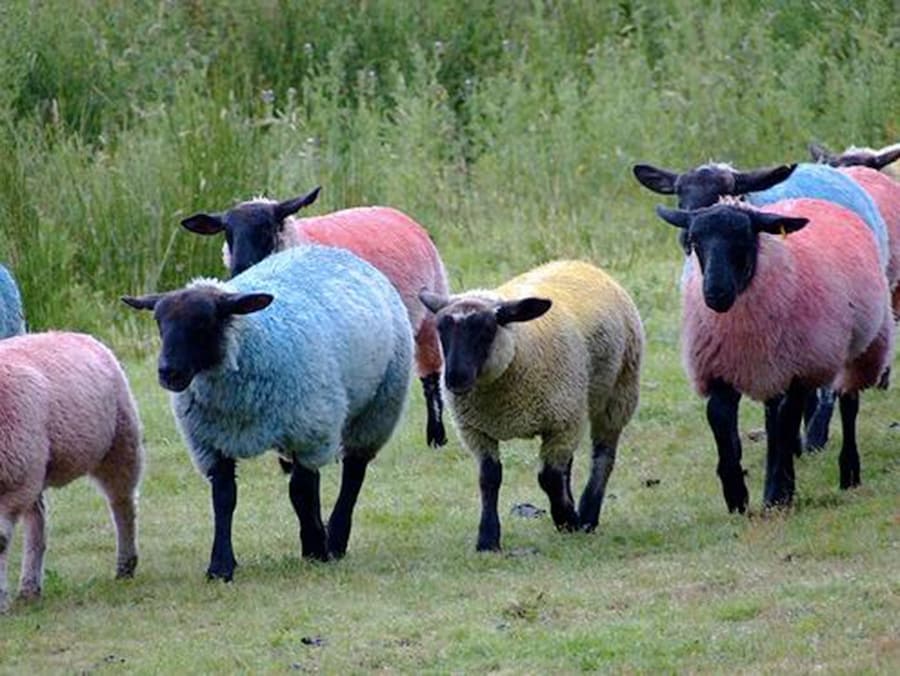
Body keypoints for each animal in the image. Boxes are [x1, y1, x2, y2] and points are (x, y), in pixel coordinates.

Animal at [0, 332, 143, 612]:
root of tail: (74, 333)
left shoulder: (13, 483)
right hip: (36, 467)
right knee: (38, 520)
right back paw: (30, 587)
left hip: (120, 441)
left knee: (122, 503)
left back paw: (125, 566)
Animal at [123, 245, 412, 580]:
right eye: (159, 324)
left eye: (204, 323)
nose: (168, 373)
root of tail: (333, 250)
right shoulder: (211, 443)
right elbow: (224, 498)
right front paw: (221, 566)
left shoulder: (309, 429)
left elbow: (300, 492)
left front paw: (316, 548)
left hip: (378, 407)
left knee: (353, 471)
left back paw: (336, 539)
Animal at [180, 187, 451, 449]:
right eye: (228, 233)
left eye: (267, 228)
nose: (240, 269)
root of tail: (398, 214)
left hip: (426, 315)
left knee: (430, 376)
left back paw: (436, 436)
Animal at [419, 260, 643, 551]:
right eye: (440, 331)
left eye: (488, 330)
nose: (455, 379)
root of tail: (577, 262)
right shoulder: (475, 431)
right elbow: (489, 478)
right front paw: (488, 539)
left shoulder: (562, 421)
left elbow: (547, 477)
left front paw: (568, 520)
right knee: (567, 464)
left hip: (617, 393)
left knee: (603, 456)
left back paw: (588, 514)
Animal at [654, 198, 893, 512]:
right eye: (694, 241)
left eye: (744, 239)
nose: (716, 294)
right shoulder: (720, 368)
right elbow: (720, 420)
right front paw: (736, 495)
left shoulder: (799, 371)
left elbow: (786, 423)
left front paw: (778, 493)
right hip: (772, 365)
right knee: (774, 414)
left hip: (862, 347)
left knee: (848, 405)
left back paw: (849, 473)